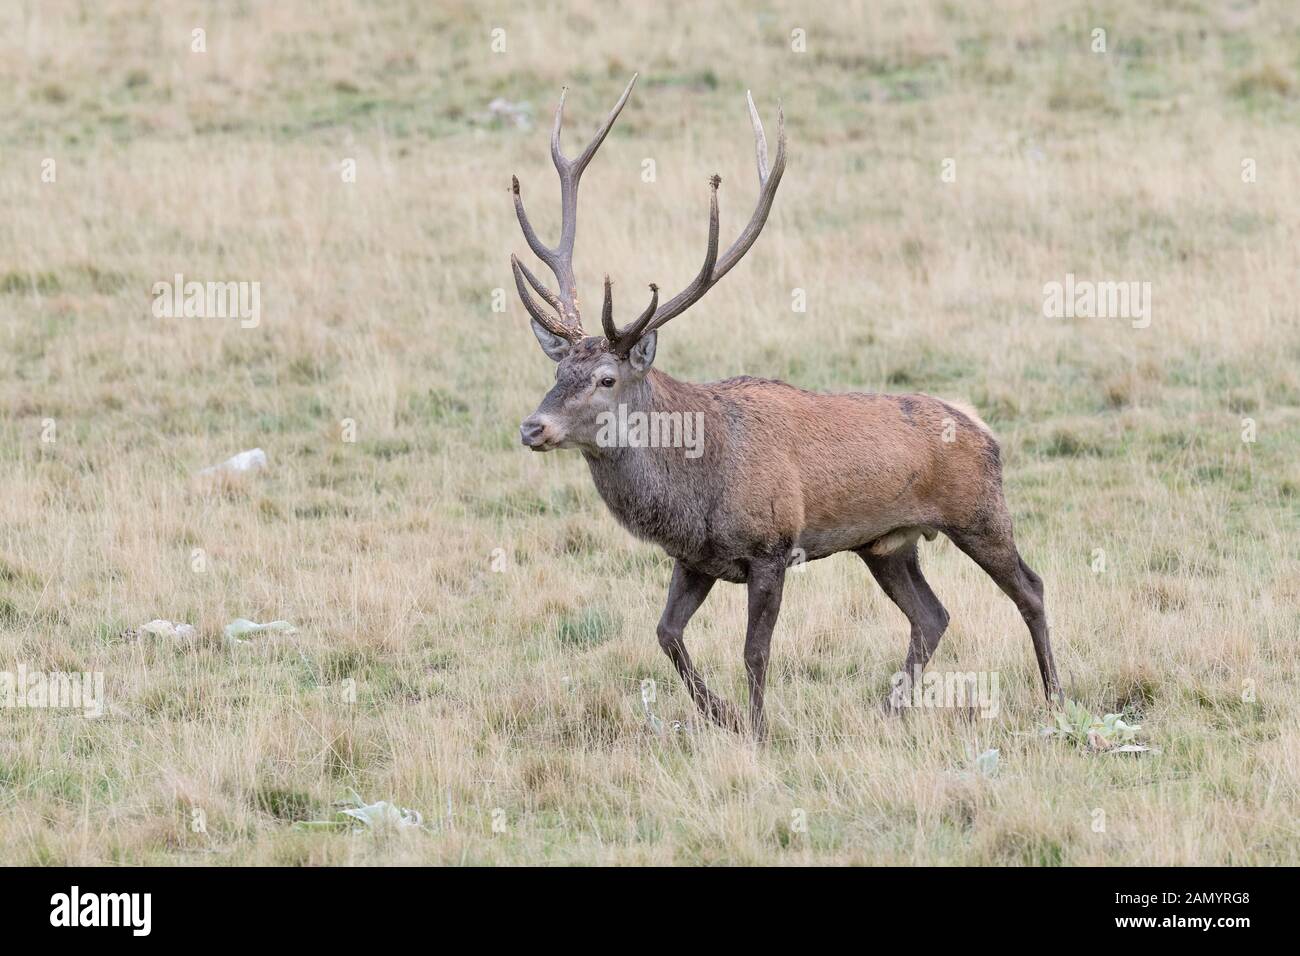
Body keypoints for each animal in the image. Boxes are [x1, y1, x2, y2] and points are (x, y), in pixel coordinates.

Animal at [510, 74, 1062, 739]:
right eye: (557, 371)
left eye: (606, 378)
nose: (533, 426)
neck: (695, 486)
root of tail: (983, 427)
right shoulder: (694, 557)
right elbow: (666, 634)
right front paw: (720, 713)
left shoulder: (771, 547)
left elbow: (755, 650)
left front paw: (757, 729)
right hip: (887, 543)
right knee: (932, 614)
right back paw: (890, 708)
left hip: (979, 511)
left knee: (1030, 587)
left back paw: (1056, 697)